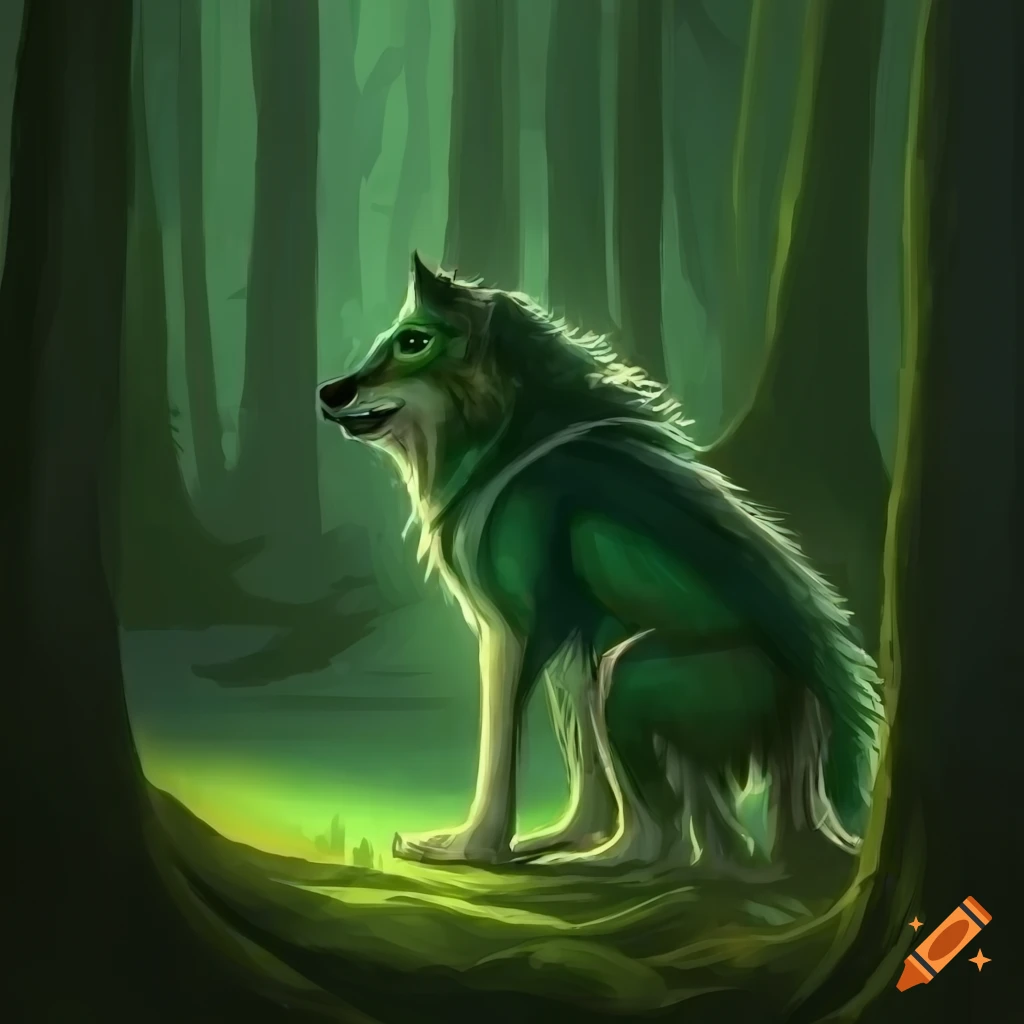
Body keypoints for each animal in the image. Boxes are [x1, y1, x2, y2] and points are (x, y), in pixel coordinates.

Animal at [317, 253, 883, 873]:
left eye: (413, 342)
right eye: (385, 340)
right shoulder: (572, 635)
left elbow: (498, 749)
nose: (329, 390)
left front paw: (470, 848)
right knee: (718, 844)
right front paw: (548, 837)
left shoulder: (516, 629)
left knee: (664, 836)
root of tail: (813, 727)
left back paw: (596, 864)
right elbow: (584, 773)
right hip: (618, 674)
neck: (510, 443)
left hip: (626, 669)